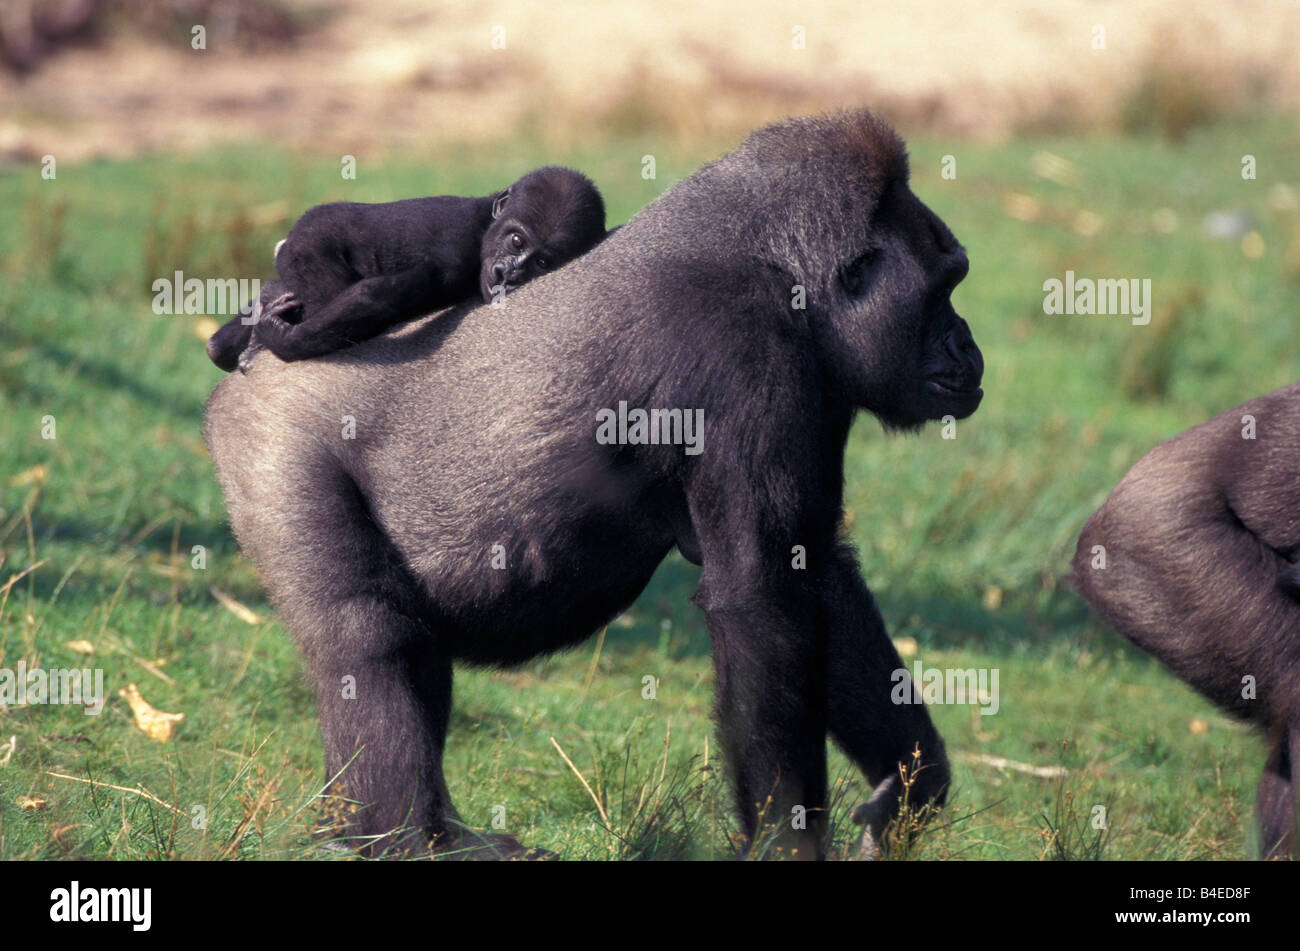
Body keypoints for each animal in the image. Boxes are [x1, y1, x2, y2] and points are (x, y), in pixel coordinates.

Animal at [205, 166, 607, 372]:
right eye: (517, 242)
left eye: (542, 263)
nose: (509, 274)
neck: (486, 224)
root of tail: (290, 235)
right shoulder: (456, 248)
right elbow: (376, 296)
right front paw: (278, 337)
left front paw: (269, 332)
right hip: (310, 241)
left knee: (216, 347)